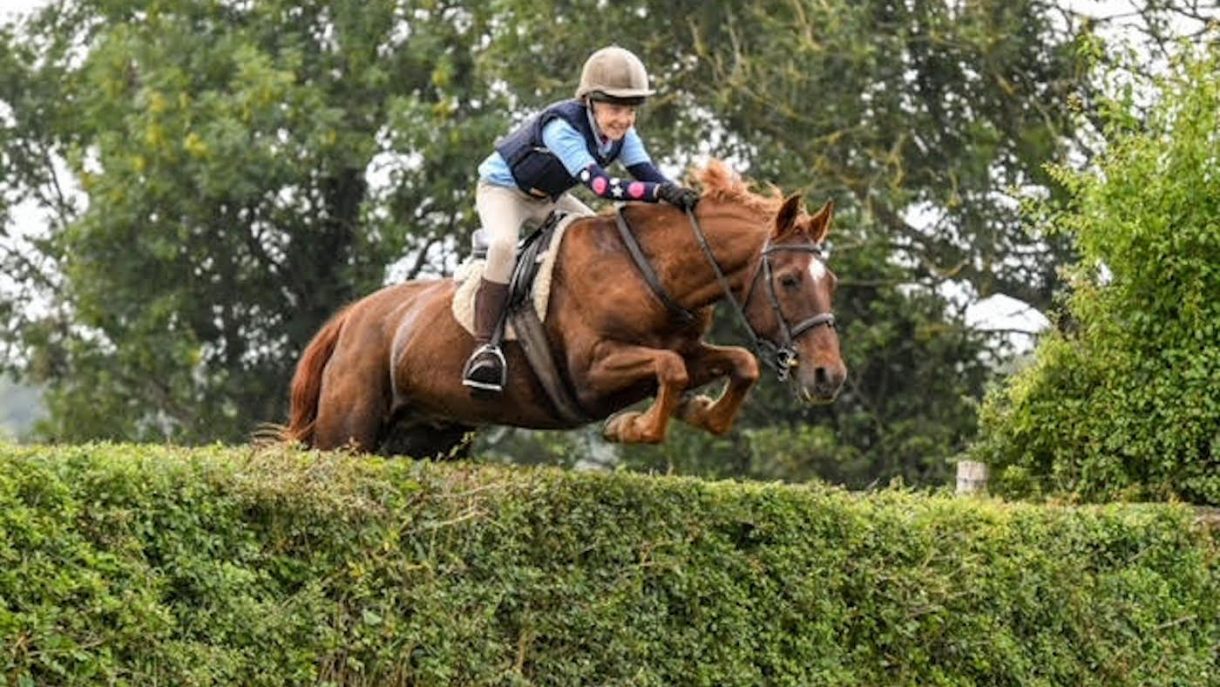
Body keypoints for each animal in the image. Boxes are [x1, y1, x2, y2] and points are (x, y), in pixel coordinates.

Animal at [280, 160, 846, 457]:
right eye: (790, 280)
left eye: (832, 282)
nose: (828, 376)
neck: (653, 272)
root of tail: (350, 318)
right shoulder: (591, 372)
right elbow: (670, 369)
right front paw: (629, 428)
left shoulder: (689, 348)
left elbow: (737, 364)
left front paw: (699, 411)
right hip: (346, 431)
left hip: (427, 436)